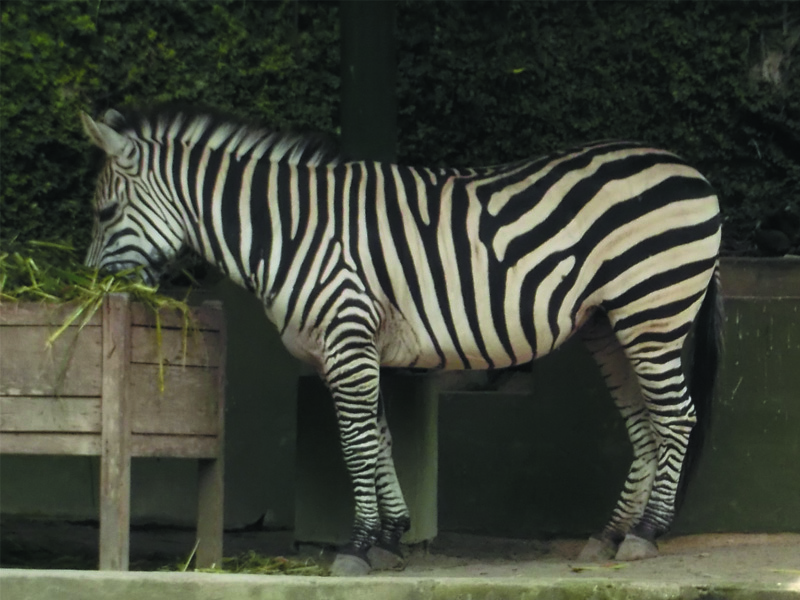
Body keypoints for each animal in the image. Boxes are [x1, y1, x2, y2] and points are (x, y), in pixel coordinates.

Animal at [80, 106, 723, 576]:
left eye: (105, 211)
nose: (88, 285)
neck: (290, 232)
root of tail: (689, 170)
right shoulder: (353, 348)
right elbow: (382, 440)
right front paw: (389, 537)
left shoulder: (345, 336)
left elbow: (356, 444)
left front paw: (357, 545)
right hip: (611, 324)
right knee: (645, 423)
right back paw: (611, 533)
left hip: (653, 309)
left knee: (677, 417)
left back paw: (645, 533)